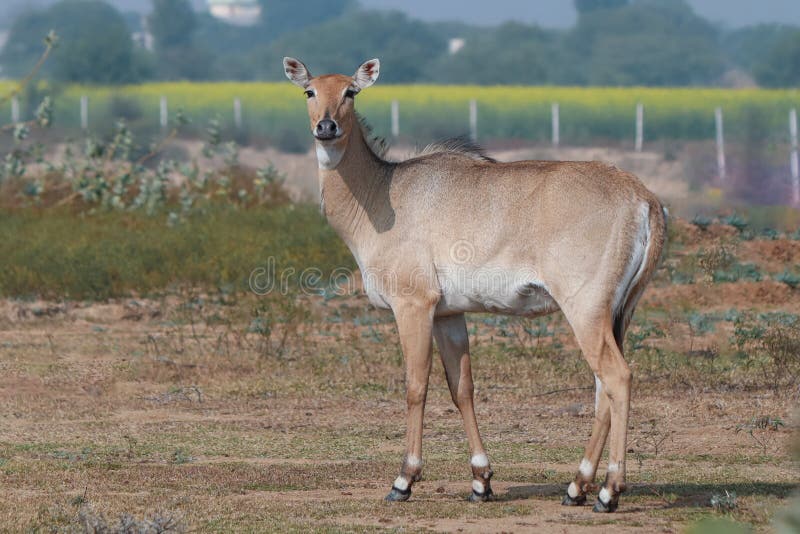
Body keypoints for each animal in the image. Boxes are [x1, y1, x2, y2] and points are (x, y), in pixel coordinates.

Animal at [283, 57, 666, 513]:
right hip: (617, 312)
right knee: (601, 390)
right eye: (309, 91)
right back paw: (576, 486)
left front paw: (404, 479)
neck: (380, 193)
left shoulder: (414, 305)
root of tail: (644, 198)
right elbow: (461, 388)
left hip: (585, 308)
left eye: (350, 93)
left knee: (617, 378)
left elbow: (416, 386)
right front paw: (481, 480)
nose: (326, 127)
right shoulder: (449, 314)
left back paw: (608, 491)